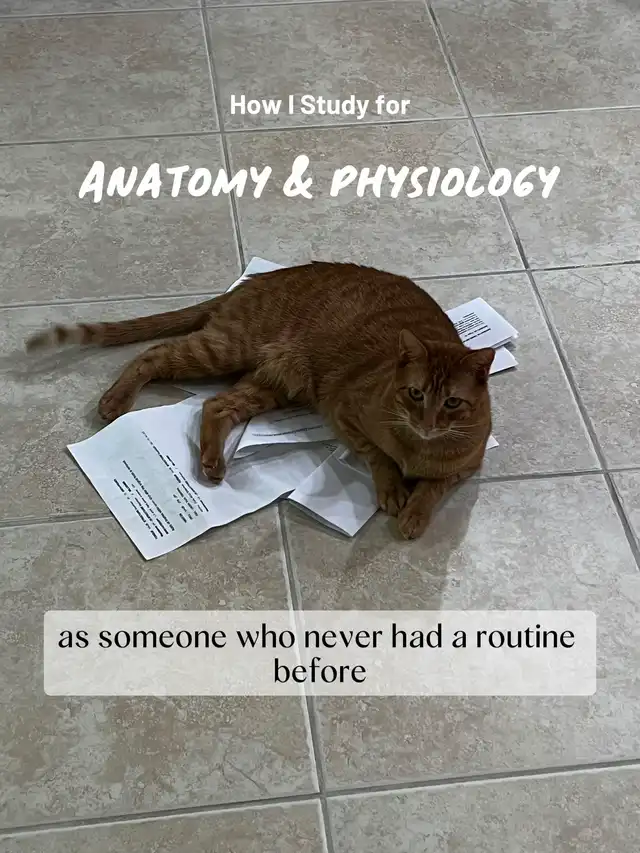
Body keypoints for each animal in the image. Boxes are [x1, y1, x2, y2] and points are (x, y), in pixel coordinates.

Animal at [26, 262, 495, 539]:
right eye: (415, 393)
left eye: (452, 403)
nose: (427, 422)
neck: (418, 448)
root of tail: (251, 281)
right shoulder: (345, 411)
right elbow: (379, 458)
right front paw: (395, 491)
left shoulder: (469, 465)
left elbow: (434, 488)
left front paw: (415, 513)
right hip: (225, 349)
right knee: (153, 355)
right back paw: (115, 400)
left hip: (273, 386)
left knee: (215, 405)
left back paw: (212, 462)